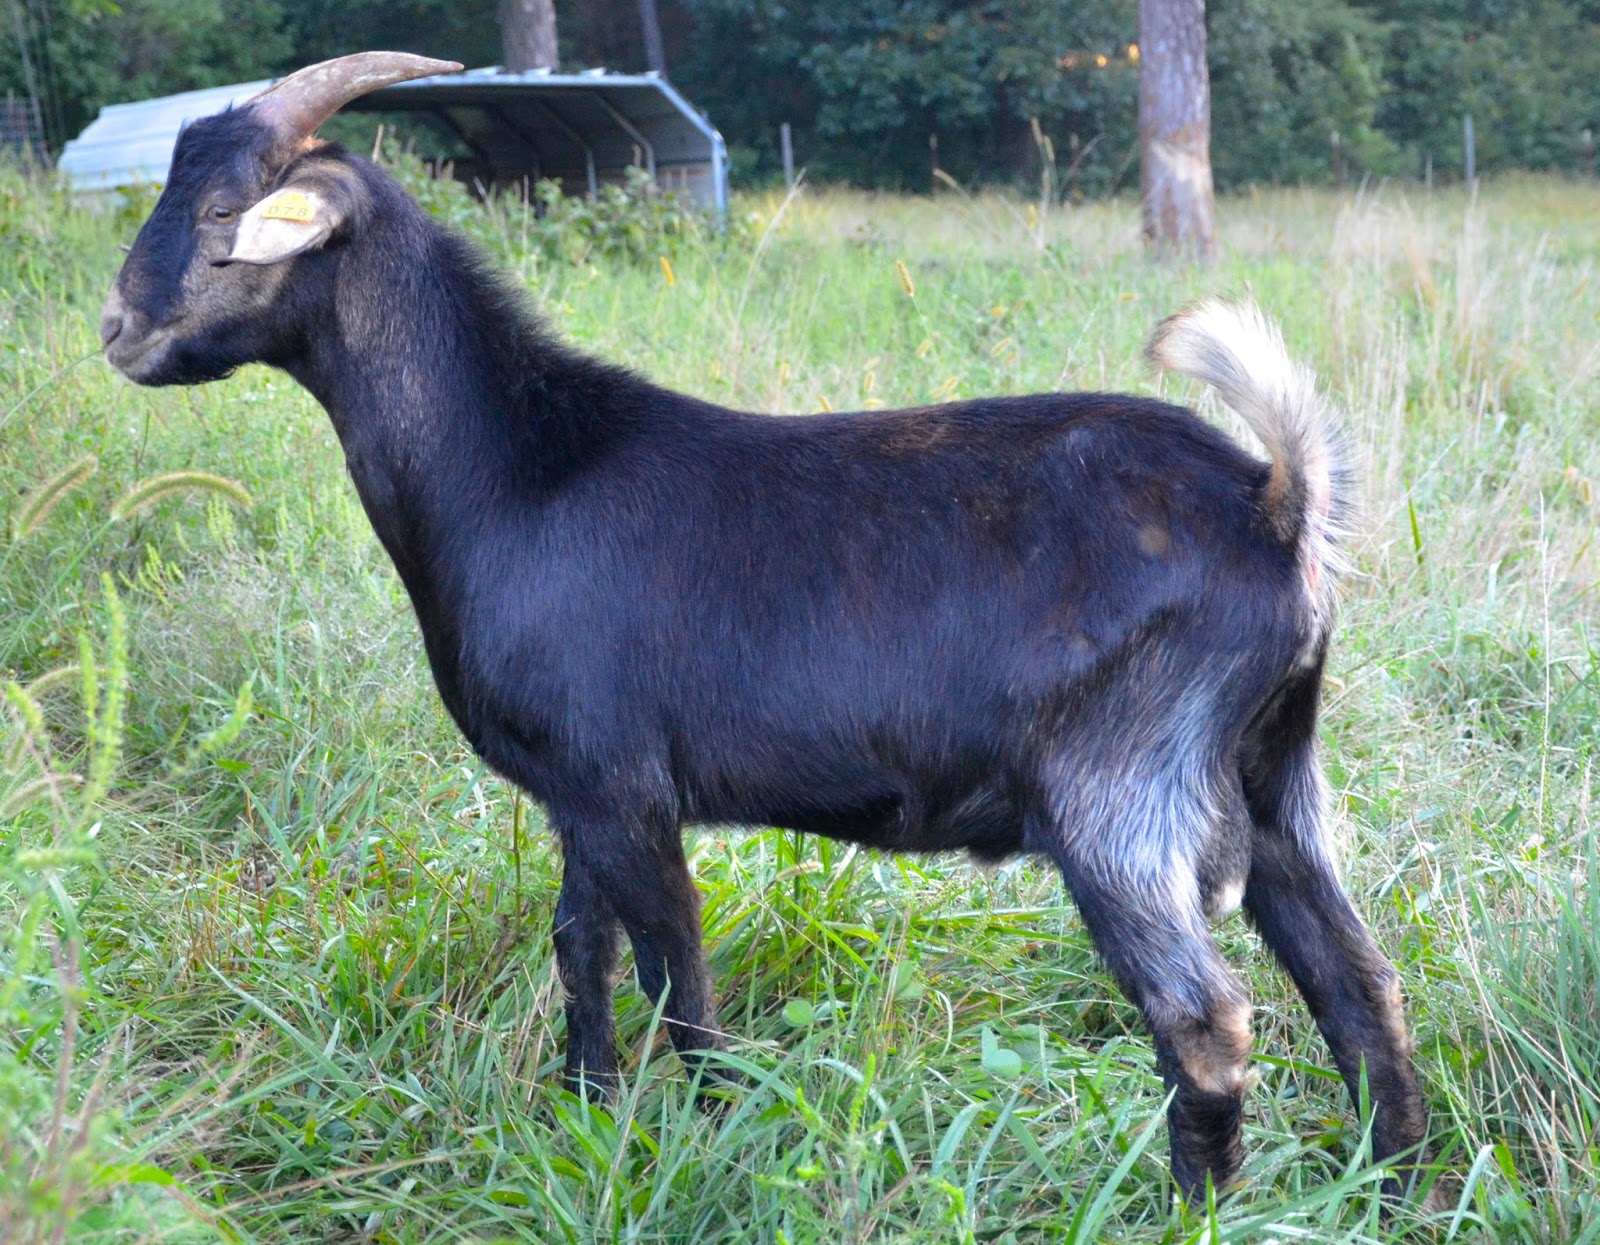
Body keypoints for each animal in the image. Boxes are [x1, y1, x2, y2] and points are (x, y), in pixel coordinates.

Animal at [100, 52, 1430, 1203]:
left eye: (221, 211)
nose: (118, 332)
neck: (518, 469)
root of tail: (1273, 502)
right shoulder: (576, 790)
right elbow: (578, 950)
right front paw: (584, 1116)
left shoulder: (626, 790)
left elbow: (675, 979)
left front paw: (709, 1141)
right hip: (1273, 774)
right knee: (1358, 983)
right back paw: (1395, 1184)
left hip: (1120, 789)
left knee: (1203, 1020)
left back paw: (1193, 1205)